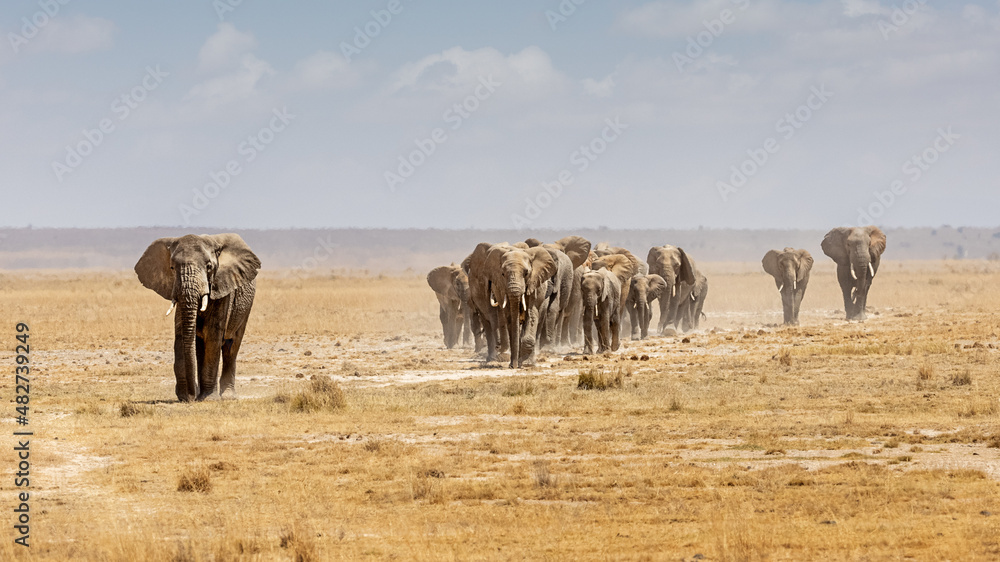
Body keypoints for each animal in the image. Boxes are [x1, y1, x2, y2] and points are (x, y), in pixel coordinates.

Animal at [134, 234, 260, 402]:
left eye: (209, 267)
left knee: (231, 346)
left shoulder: (222, 289)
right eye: (172, 268)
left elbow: (213, 336)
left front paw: (208, 399)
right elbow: (181, 335)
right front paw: (185, 396)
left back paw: (227, 396)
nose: (191, 396)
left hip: (245, 308)